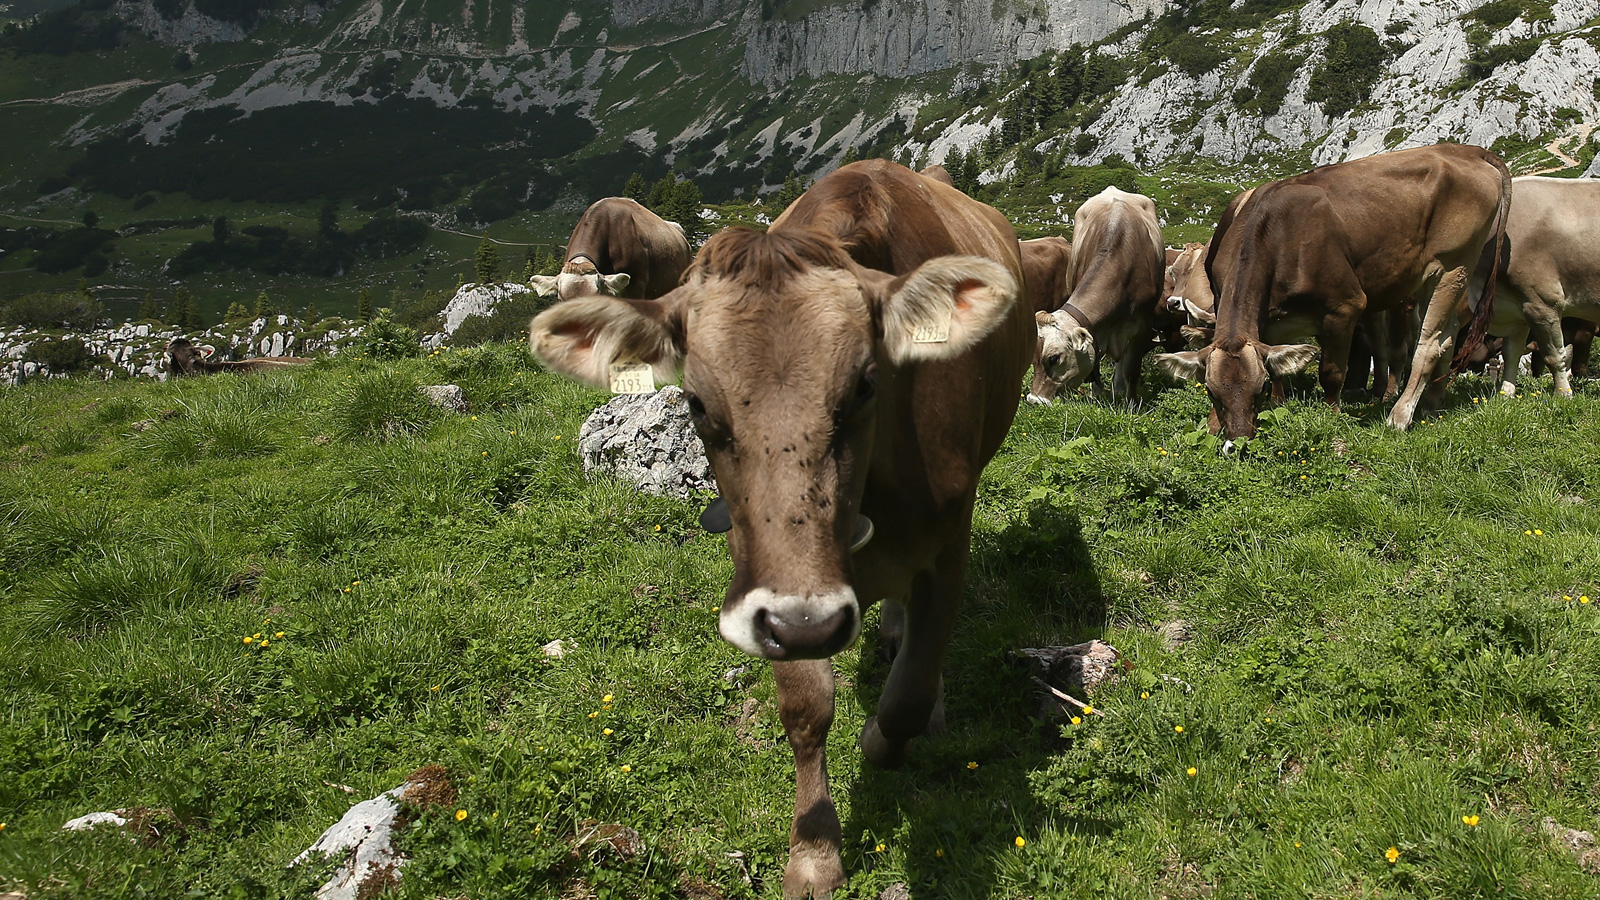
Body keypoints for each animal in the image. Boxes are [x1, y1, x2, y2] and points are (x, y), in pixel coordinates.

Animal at [1031, 186, 1166, 405]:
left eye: (1054, 358)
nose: (1034, 400)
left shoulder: (1143, 326)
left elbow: (1132, 369)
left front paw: (1131, 404)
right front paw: (1096, 394)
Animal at [1156, 143, 1511, 442]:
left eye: (1259, 388)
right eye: (1211, 391)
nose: (1240, 438)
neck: (1278, 236)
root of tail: (1467, 149)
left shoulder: (1344, 307)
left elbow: (1331, 373)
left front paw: (1331, 414)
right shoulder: (1268, 322)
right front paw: (1219, 423)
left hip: (1455, 265)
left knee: (1429, 344)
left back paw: (1400, 415)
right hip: (1429, 277)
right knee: (1448, 334)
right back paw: (1433, 402)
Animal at [1470, 176, 1600, 397]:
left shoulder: (1542, 304)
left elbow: (1555, 355)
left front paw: (1563, 394)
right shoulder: (1517, 308)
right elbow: (1511, 354)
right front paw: (1506, 393)